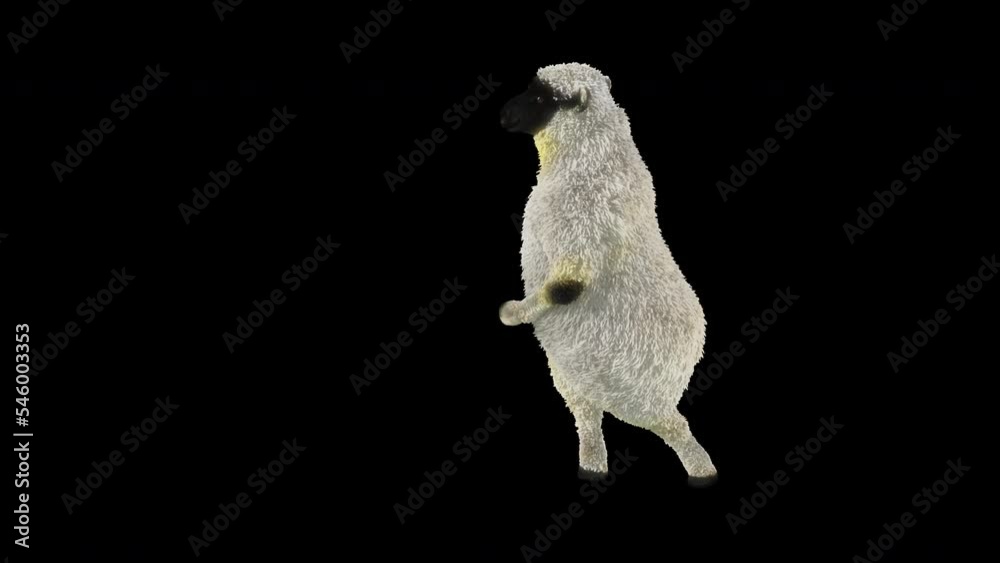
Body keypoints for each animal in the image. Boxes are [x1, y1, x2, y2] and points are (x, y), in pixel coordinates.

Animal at [498, 63, 718, 486]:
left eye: (543, 97)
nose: (504, 116)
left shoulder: (583, 238)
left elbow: (562, 290)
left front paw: (511, 312)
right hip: (573, 377)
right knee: (588, 416)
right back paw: (591, 464)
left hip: (641, 395)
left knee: (676, 427)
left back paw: (703, 471)